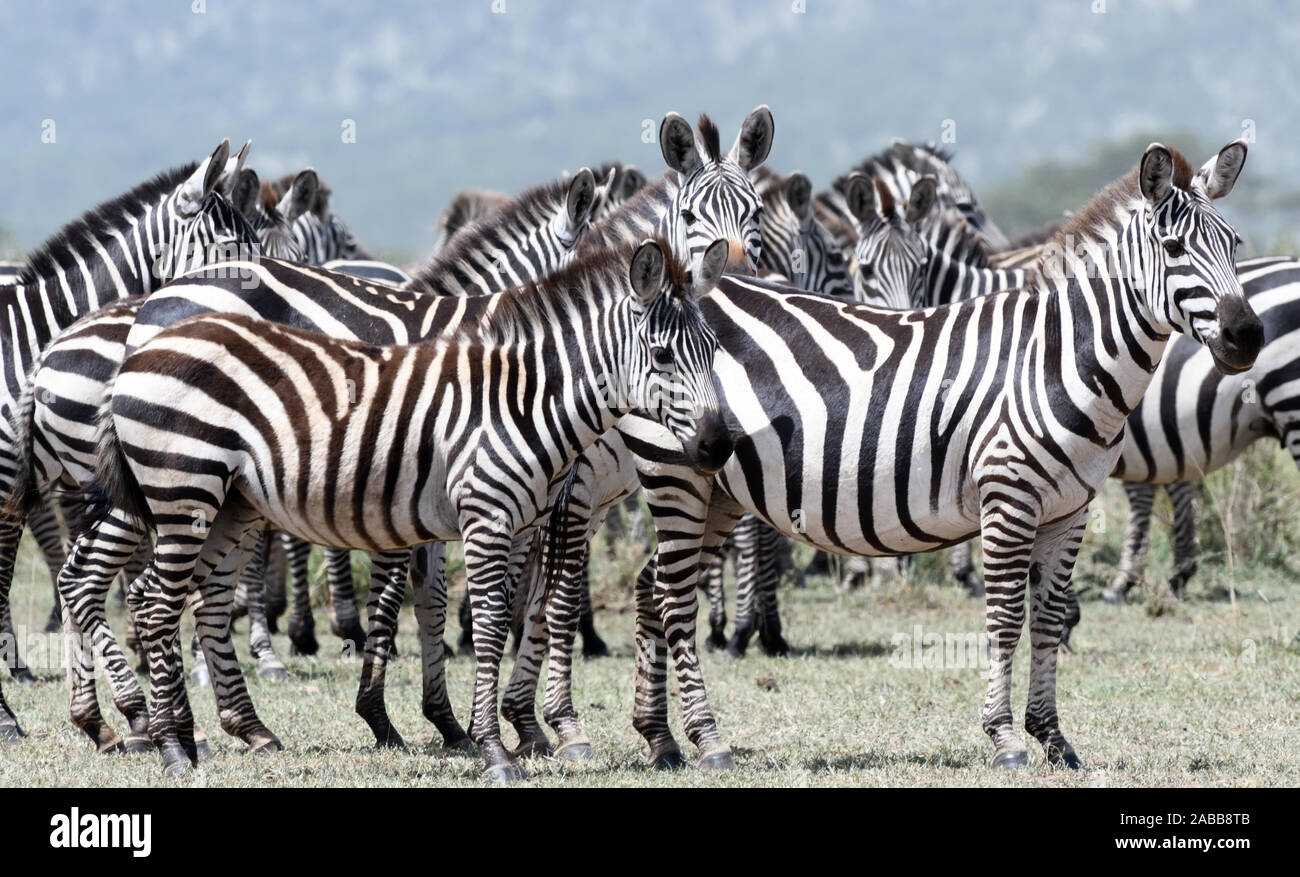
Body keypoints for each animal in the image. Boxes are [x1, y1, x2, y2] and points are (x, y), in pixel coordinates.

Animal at [89, 236, 731, 780]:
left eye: (715, 350)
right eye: (662, 355)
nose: (718, 446)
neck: (524, 399)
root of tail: (144, 341)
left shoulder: (524, 517)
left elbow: (514, 611)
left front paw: (499, 732)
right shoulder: (488, 516)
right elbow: (492, 623)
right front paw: (496, 750)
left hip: (228, 505)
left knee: (175, 599)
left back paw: (213, 735)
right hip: (184, 489)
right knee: (155, 601)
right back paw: (172, 749)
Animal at [508, 139, 1261, 771]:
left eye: (1234, 243)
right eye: (1173, 246)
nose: (1247, 336)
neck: (1057, 357)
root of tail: (671, 287)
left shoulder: (1070, 507)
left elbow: (1048, 619)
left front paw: (1054, 738)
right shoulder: (1008, 496)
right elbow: (1005, 616)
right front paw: (1006, 738)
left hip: (715, 485)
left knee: (650, 588)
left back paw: (660, 738)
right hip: (673, 471)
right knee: (663, 594)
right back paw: (702, 738)